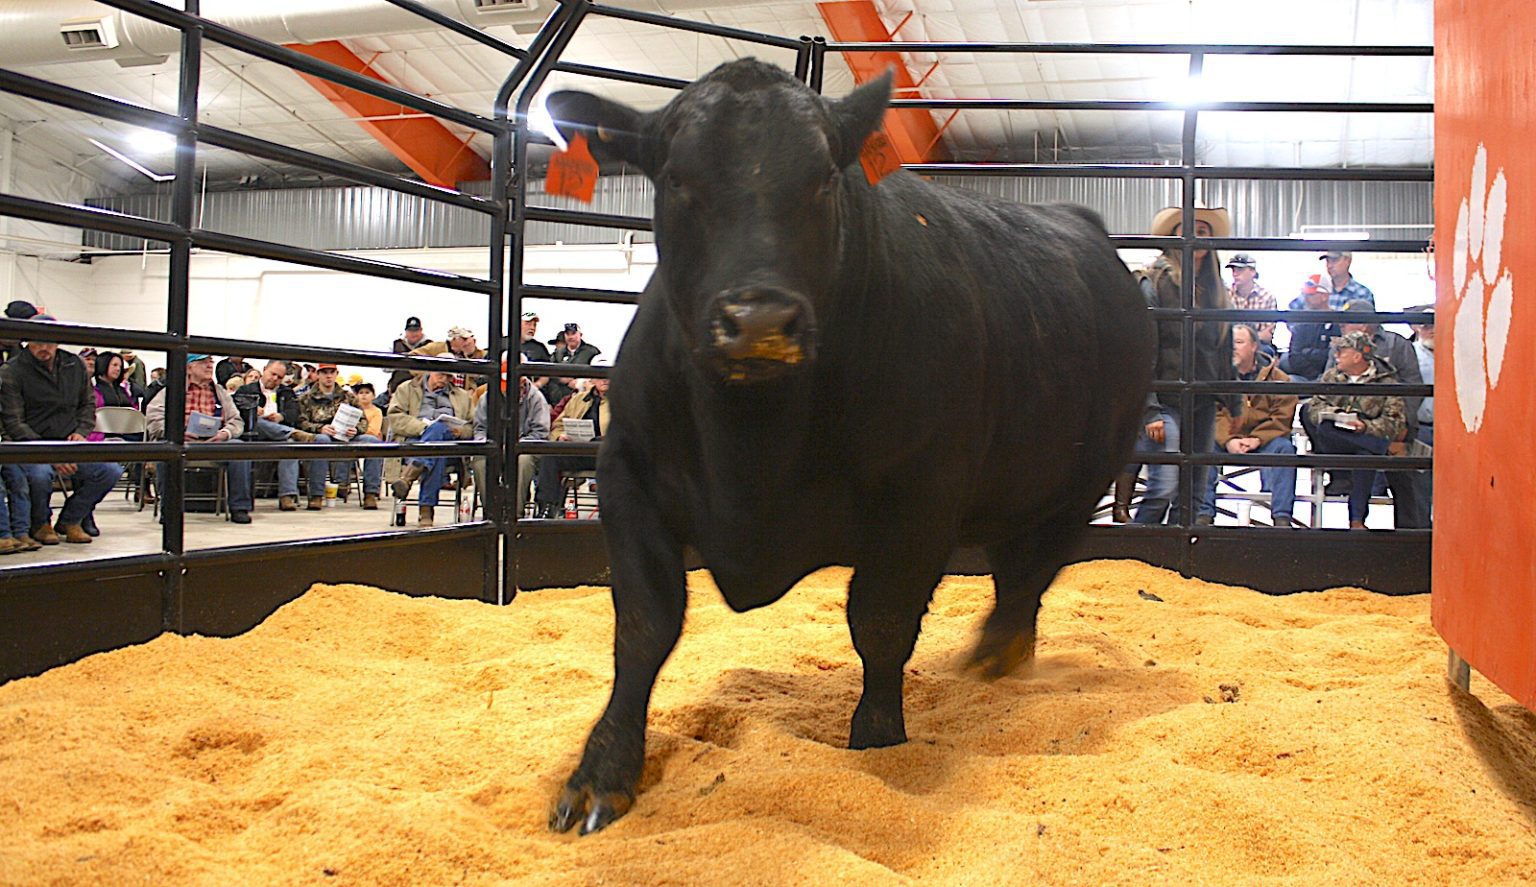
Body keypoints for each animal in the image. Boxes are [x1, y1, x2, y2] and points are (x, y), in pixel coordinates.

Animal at [543, 59, 1155, 835]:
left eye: (824, 178)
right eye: (677, 176)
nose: (759, 320)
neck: (753, 443)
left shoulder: (919, 498)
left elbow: (881, 623)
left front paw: (878, 743)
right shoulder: (628, 474)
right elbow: (644, 627)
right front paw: (603, 772)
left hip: (1083, 478)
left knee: (1029, 574)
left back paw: (994, 658)